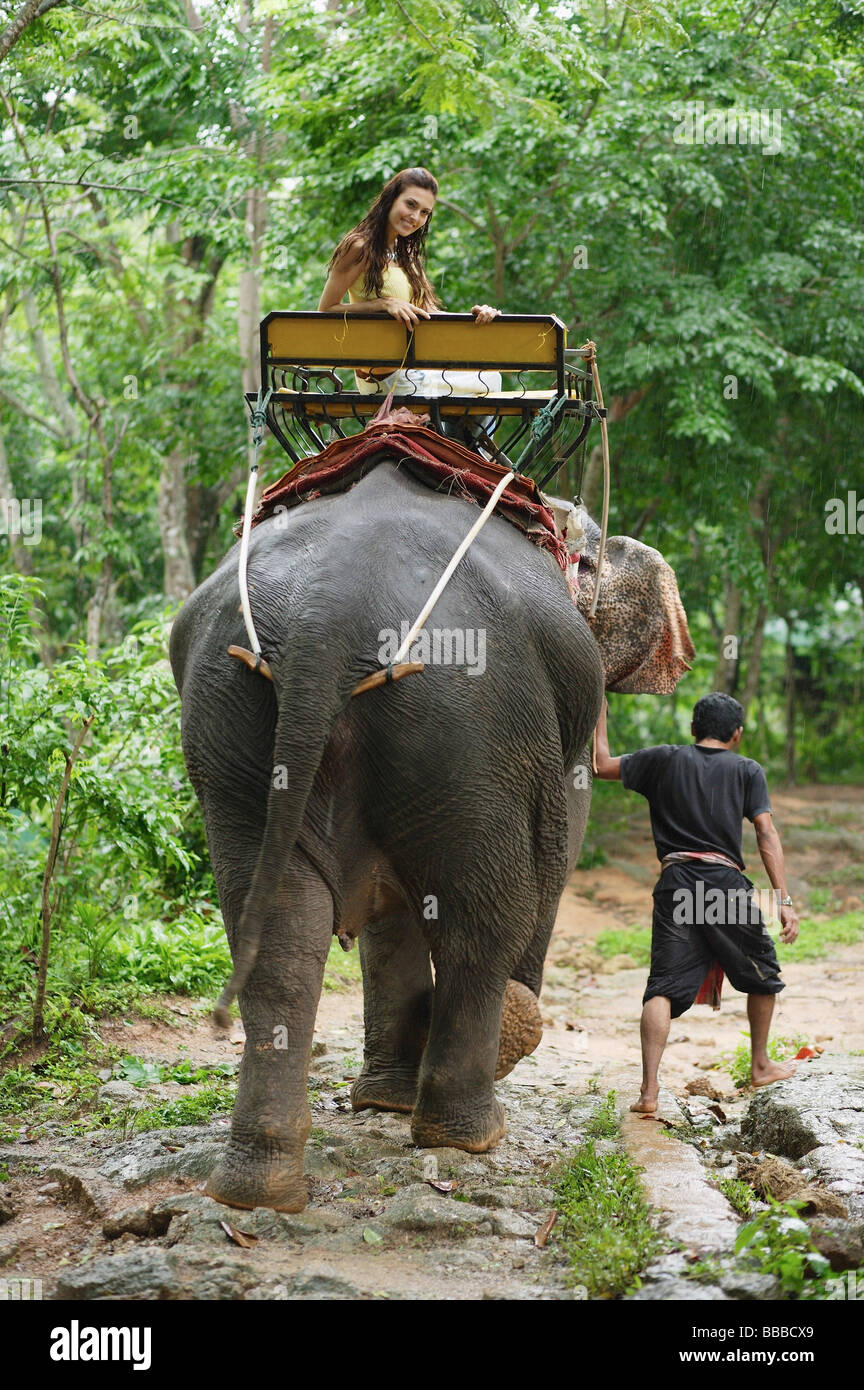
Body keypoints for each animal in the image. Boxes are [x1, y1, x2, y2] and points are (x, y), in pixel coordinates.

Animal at [169, 453, 693, 1213]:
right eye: (591, 559)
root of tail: (327, 610)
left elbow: (387, 915)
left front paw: (384, 1098)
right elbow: (550, 855)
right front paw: (502, 1035)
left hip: (233, 724)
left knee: (274, 934)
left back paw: (257, 1189)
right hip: (468, 719)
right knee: (485, 921)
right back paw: (469, 1132)